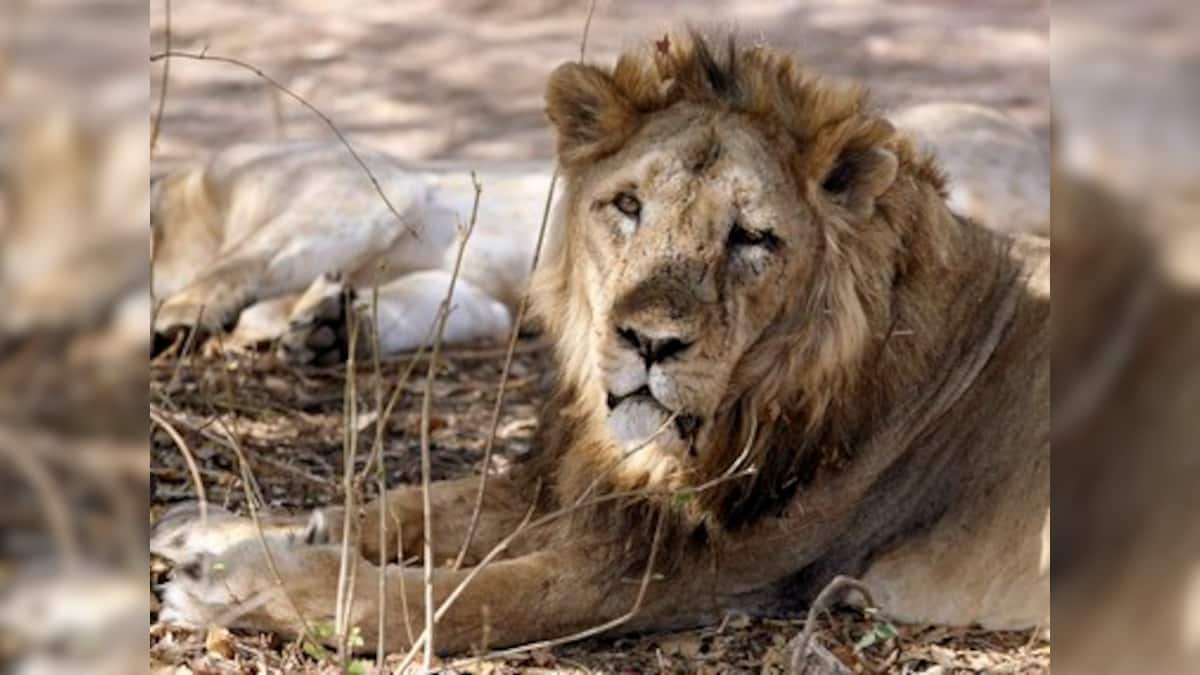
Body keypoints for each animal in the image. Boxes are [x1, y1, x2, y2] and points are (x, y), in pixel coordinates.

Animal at [152, 32, 1049, 655]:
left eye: (753, 237)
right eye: (627, 205)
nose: (648, 341)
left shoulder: (664, 575)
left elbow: (427, 598)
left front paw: (228, 580)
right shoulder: (566, 487)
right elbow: (399, 506)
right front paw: (213, 527)